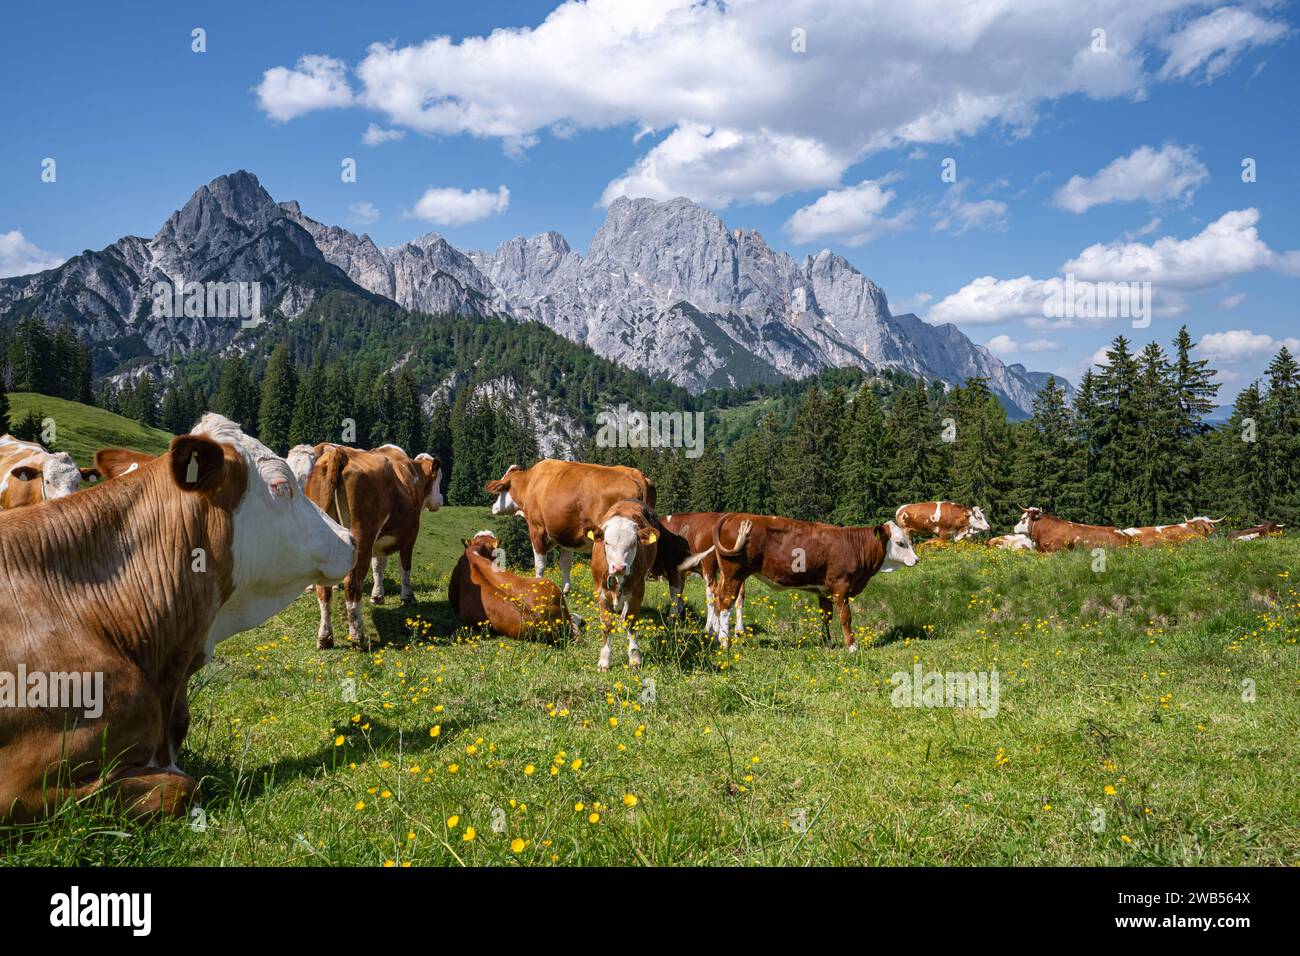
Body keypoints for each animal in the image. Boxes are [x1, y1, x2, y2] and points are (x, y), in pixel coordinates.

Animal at [300, 443, 443, 650]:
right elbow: (405, 566)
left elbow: (379, 566)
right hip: (361, 539)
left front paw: (377, 596)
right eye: (439, 477)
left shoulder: (378, 541)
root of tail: (338, 453)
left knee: (324, 589)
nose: (441, 500)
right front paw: (408, 597)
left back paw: (325, 637)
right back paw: (357, 635)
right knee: (352, 584)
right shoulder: (410, 536)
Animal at [485, 460, 655, 593]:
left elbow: (540, 564)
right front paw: (566, 589)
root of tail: (633, 472)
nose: (493, 507)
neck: (531, 483)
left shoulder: (537, 529)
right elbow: (565, 563)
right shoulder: (566, 534)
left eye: (500, 491)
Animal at [587, 499, 661, 671]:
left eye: (634, 543)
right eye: (607, 542)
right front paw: (604, 660)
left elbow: (631, 622)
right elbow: (607, 624)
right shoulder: (600, 591)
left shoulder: (638, 590)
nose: (619, 567)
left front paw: (635, 658)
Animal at [710, 514, 918, 652]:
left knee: (718, 602)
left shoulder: (823, 591)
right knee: (725, 605)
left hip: (726, 576)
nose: (917, 560)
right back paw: (725, 642)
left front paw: (827, 642)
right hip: (734, 574)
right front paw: (852, 646)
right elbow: (845, 618)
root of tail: (734, 515)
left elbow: (826, 617)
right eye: (900, 543)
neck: (854, 546)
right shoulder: (841, 587)